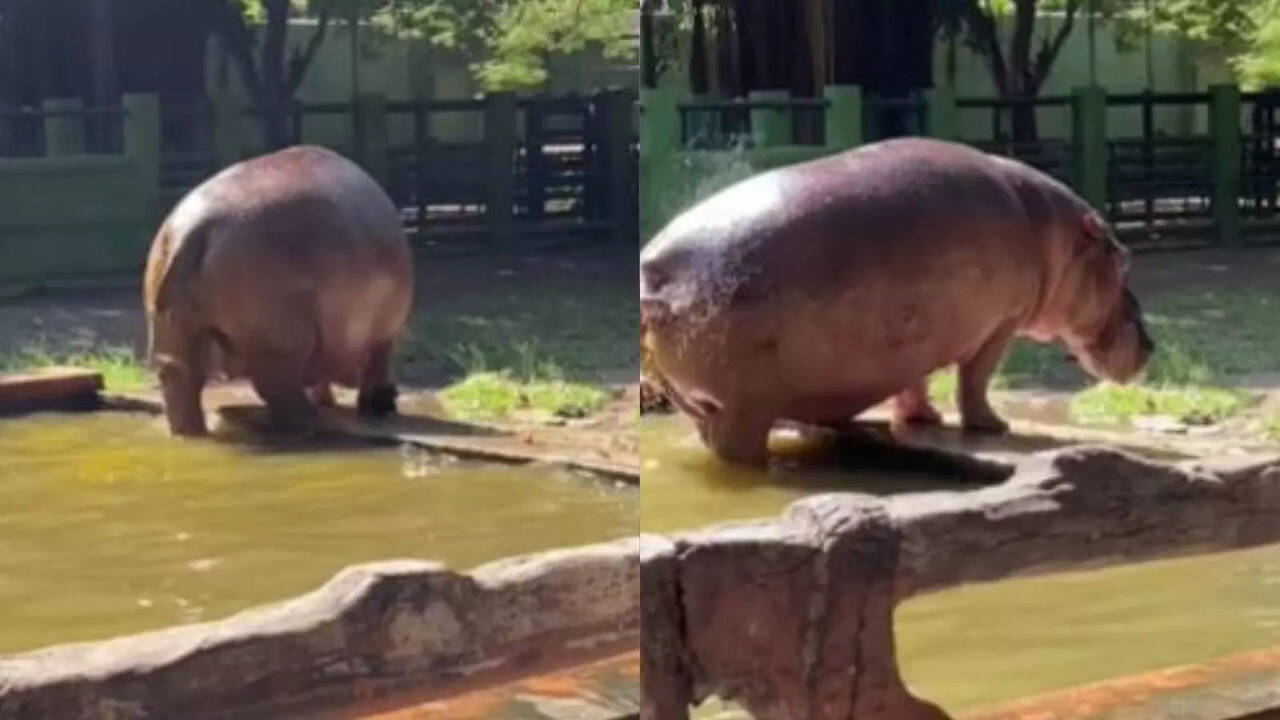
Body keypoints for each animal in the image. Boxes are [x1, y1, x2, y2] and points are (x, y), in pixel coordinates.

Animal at [144, 145, 413, 436]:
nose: (393, 397)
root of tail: (196, 226)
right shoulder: (382, 334)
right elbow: (375, 364)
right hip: (283, 339)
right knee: (275, 387)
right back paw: (309, 420)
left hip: (174, 334)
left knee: (181, 379)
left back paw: (191, 432)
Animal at [640, 137, 1153, 467]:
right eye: (1124, 260)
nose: (1151, 345)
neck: (1055, 238)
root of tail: (655, 270)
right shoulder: (999, 325)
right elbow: (975, 379)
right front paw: (994, 428)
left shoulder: (918, 329)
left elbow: (916, 380)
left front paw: (922, 419)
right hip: (742, 410)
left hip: (704, 405)